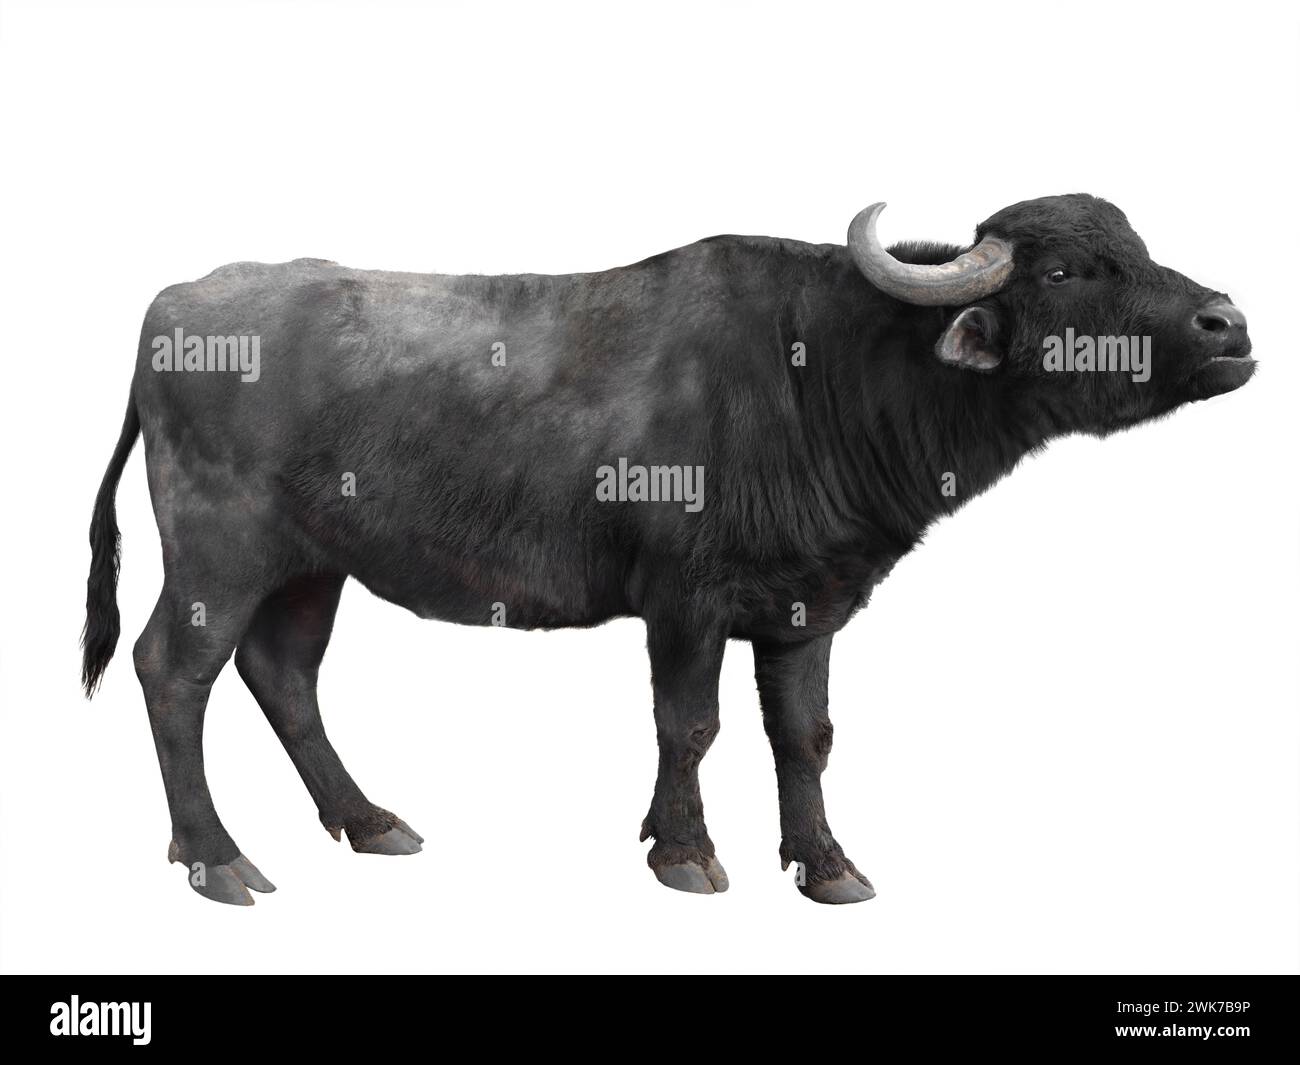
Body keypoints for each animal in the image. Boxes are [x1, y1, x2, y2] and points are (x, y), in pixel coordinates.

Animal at [82, 194, 1254, 904]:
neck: (819, 373)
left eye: (1139, 249)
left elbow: (804, 736)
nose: (1228, 325)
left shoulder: (806, 607)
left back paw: (369, 821)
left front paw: (825, 863)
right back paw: (217, 857)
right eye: (1061, 273)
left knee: (282, 676)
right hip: (219, 553)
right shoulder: (684, 603)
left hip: (310, 566)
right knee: (173, 671)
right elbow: (690, 725)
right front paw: (686, 851)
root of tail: (174, 309)